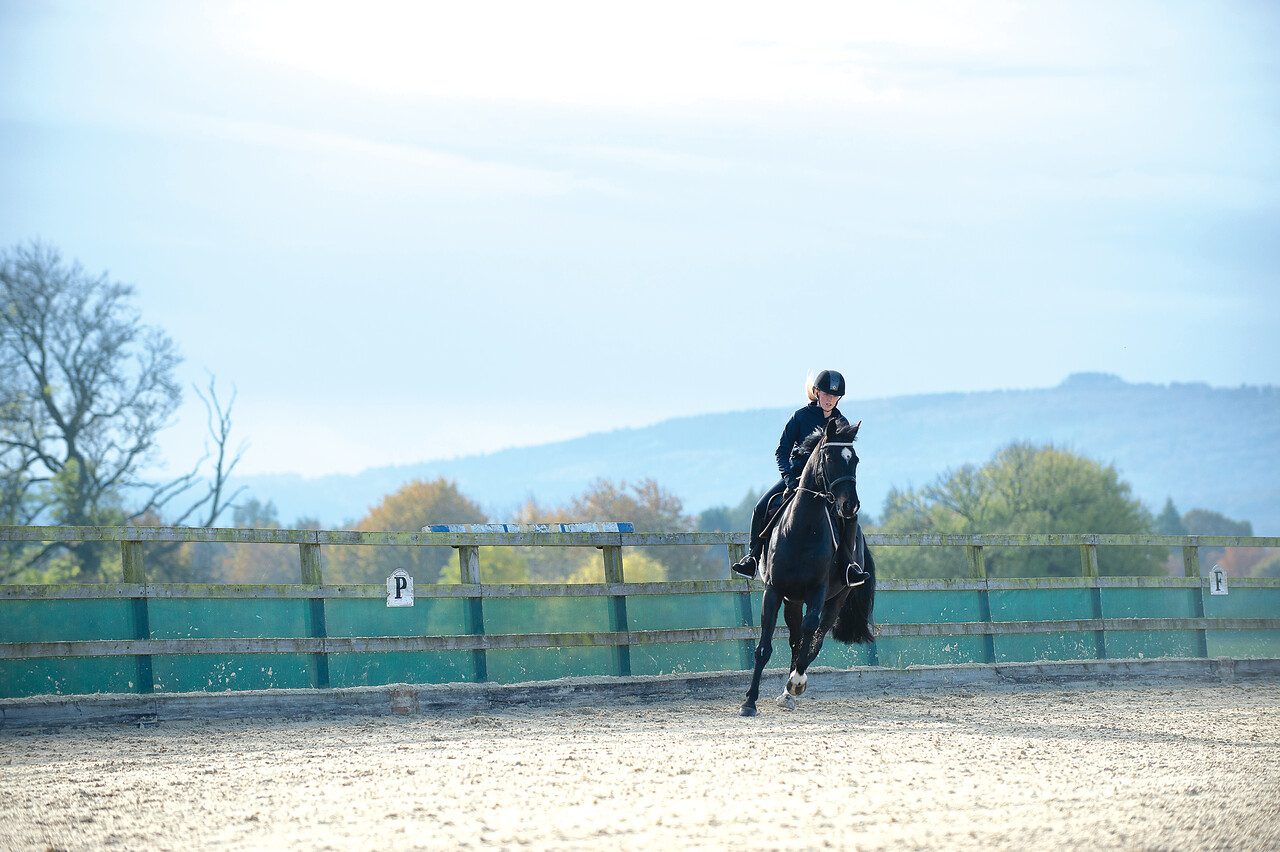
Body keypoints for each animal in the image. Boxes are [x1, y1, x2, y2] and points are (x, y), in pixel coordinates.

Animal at [740, 415, 876, 717]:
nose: (850, 506)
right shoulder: (774, 591)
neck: (802, 528)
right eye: (829, 457)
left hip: (836, 599)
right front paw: (749, 702)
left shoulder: (817, 591)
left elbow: (810, 635)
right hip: (792, 601)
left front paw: (797, 682)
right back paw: (785, 695)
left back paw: (793, 686)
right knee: (795, 641)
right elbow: (763, 648)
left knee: (814, 639)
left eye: (855, 460)